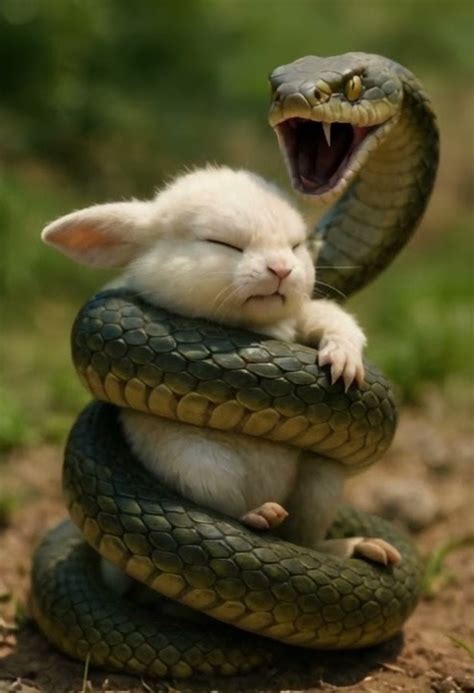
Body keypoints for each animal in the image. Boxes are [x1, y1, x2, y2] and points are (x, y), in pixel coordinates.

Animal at [42, 166, 400, 595]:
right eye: (223, 244)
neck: (250, 325)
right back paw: (257, 516)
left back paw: (351, 546)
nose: (282, 270)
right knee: (228, 503)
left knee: (303, 536)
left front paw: (344, 357)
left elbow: (332, 317)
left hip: (322, 479)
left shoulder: (302, 316)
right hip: (201, 463)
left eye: (296, 246)